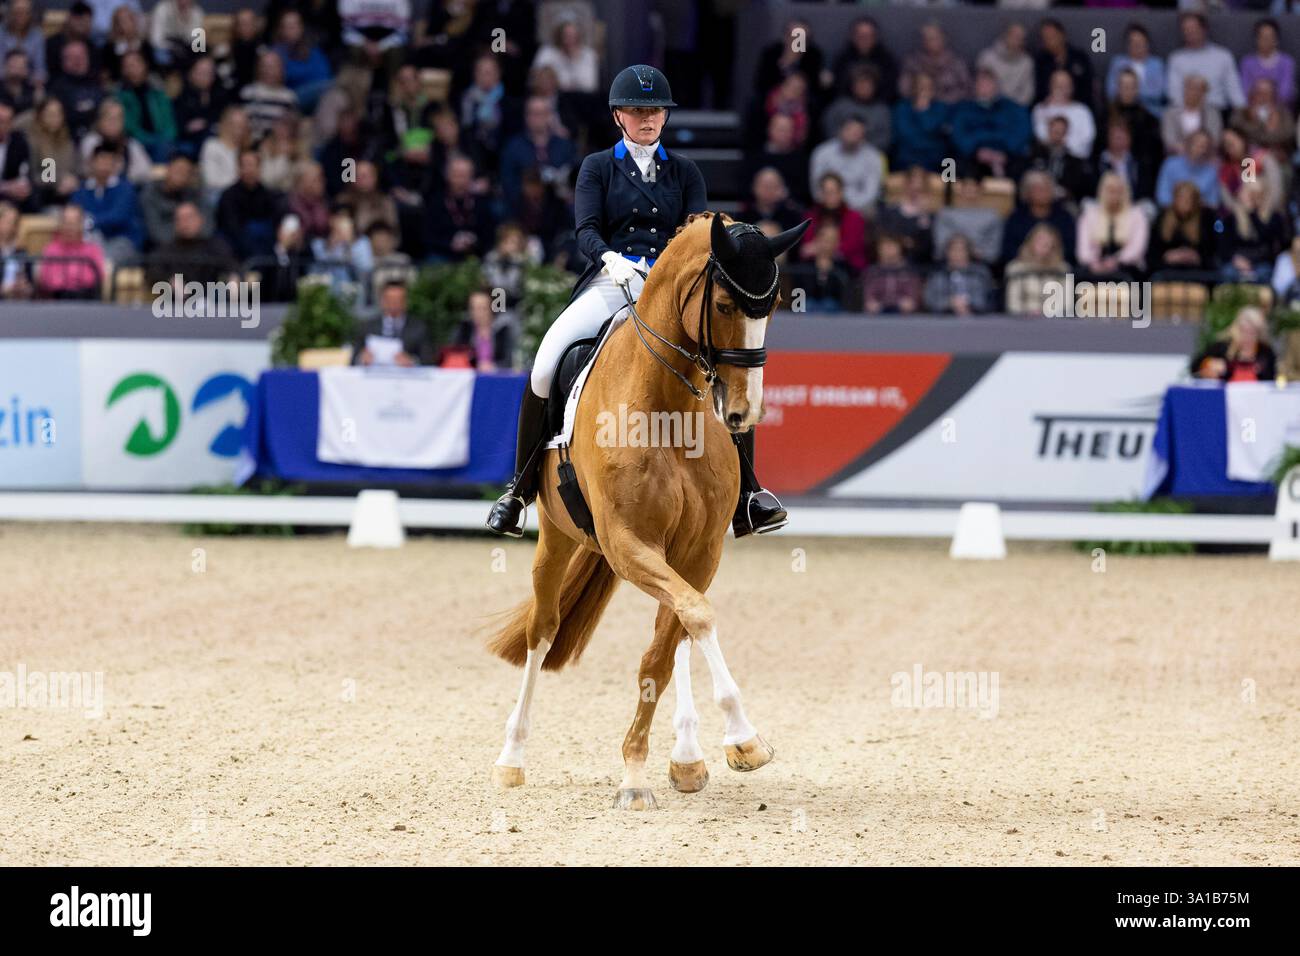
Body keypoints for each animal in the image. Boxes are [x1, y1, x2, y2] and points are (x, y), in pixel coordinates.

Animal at [487, 211, 810, 809]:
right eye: (724, 305)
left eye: (773, 305)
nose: (743, 412)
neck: (666, 408)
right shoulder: (626, 543)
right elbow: (693, 620)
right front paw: (743, 738)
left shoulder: (700, 550)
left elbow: (669, 643)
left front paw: (650, 766)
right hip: (557, 540)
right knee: (543, 631)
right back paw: (511, 758)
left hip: (672, 553)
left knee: (673, 629)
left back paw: (686, 758)